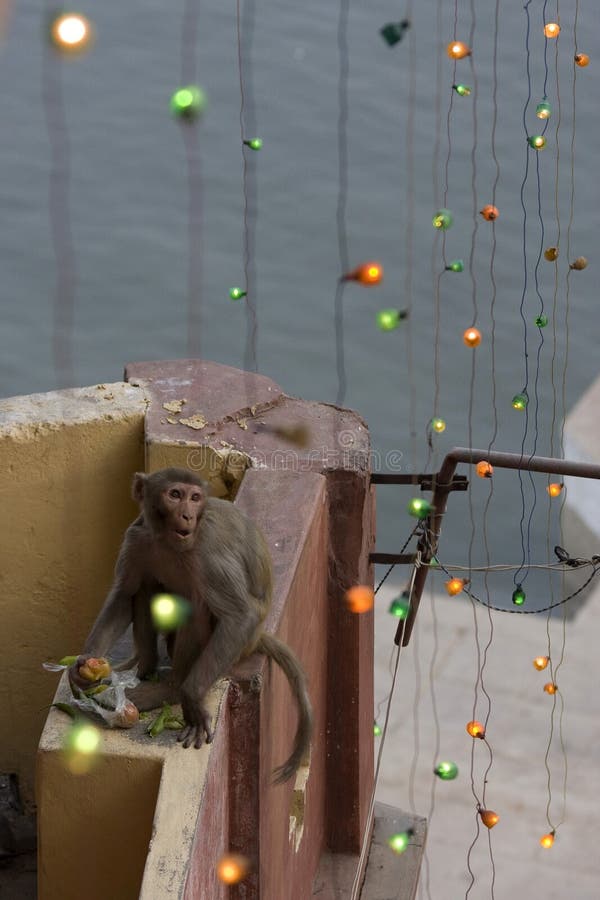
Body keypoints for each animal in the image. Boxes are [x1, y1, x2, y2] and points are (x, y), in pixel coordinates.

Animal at [69, 467, 312, 784]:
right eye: (175, 494)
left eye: (195, 498)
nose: (187, 516)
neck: (168, 542)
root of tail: (259, 636)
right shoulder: (136, 538)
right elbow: (124, 596)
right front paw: (83, 668)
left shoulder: (208, 550)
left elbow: (240, 614)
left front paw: (192, 697)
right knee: (146, 586)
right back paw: (146, 668)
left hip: (241, 643)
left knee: (200, 603)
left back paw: (170, 689)